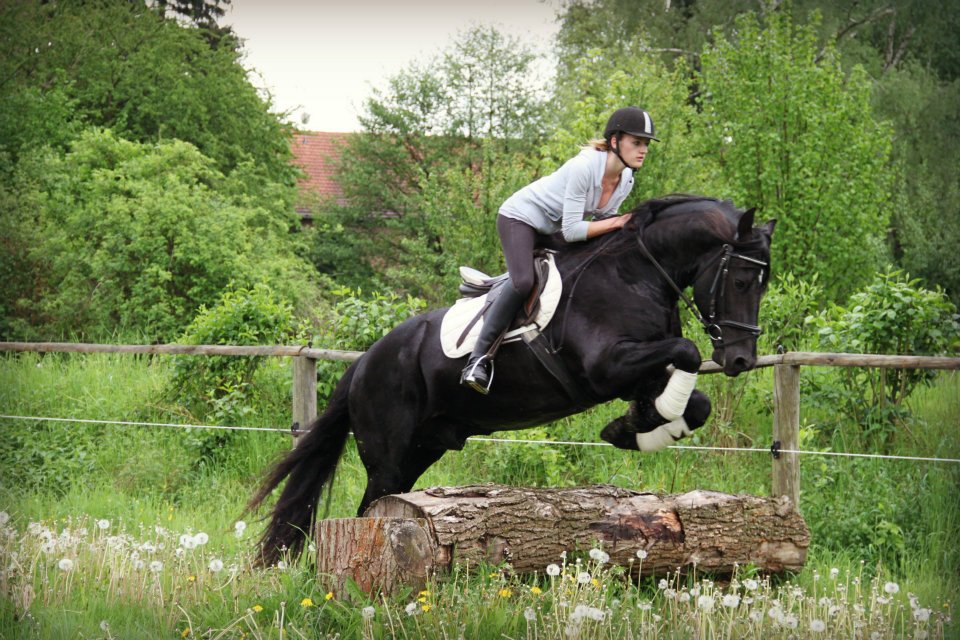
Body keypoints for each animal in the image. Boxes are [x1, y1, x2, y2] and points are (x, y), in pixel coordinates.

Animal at [248, 195, 776, 564]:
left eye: (763, 284)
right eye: (741, 281)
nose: (741, 358)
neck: (635, 273)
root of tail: (363, 362)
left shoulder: (634, 372)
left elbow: (695, 400)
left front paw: (637, 428)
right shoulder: (606, 367)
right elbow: (688, 352)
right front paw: (645, 423)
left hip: (425, 446)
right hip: (388, 455)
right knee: (370, 510)